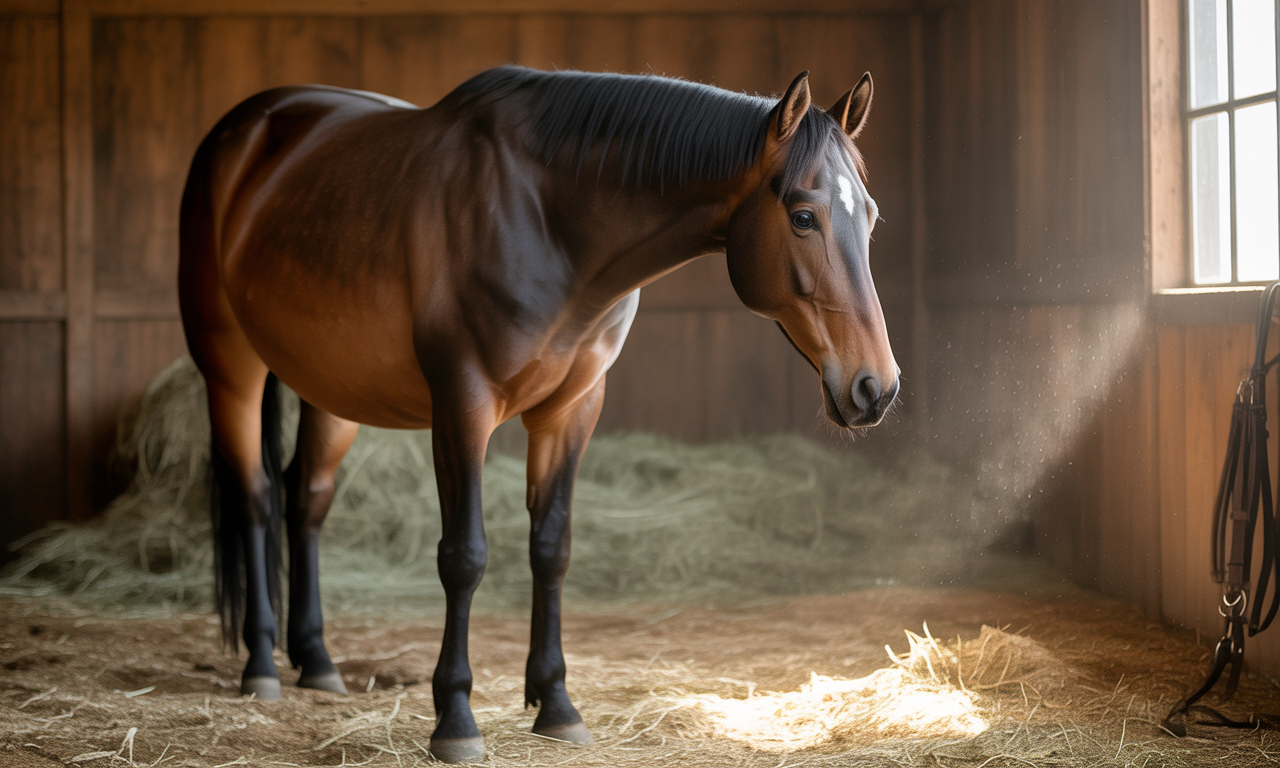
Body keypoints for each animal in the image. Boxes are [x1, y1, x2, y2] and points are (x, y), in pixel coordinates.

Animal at [178, 65, 898, 763]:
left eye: (869, 216)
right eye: (803, 216)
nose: (877, 388)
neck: (549, 220)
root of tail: (246, 126)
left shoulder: (572, 410)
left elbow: (552, 548)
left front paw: (556, 705)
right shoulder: (462, 404)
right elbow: (464, 556)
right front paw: (456, 720)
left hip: (332, 386)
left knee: (307, 500)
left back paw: (318, 661)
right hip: (233, 368)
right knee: (256, 498)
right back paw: (262, 666)